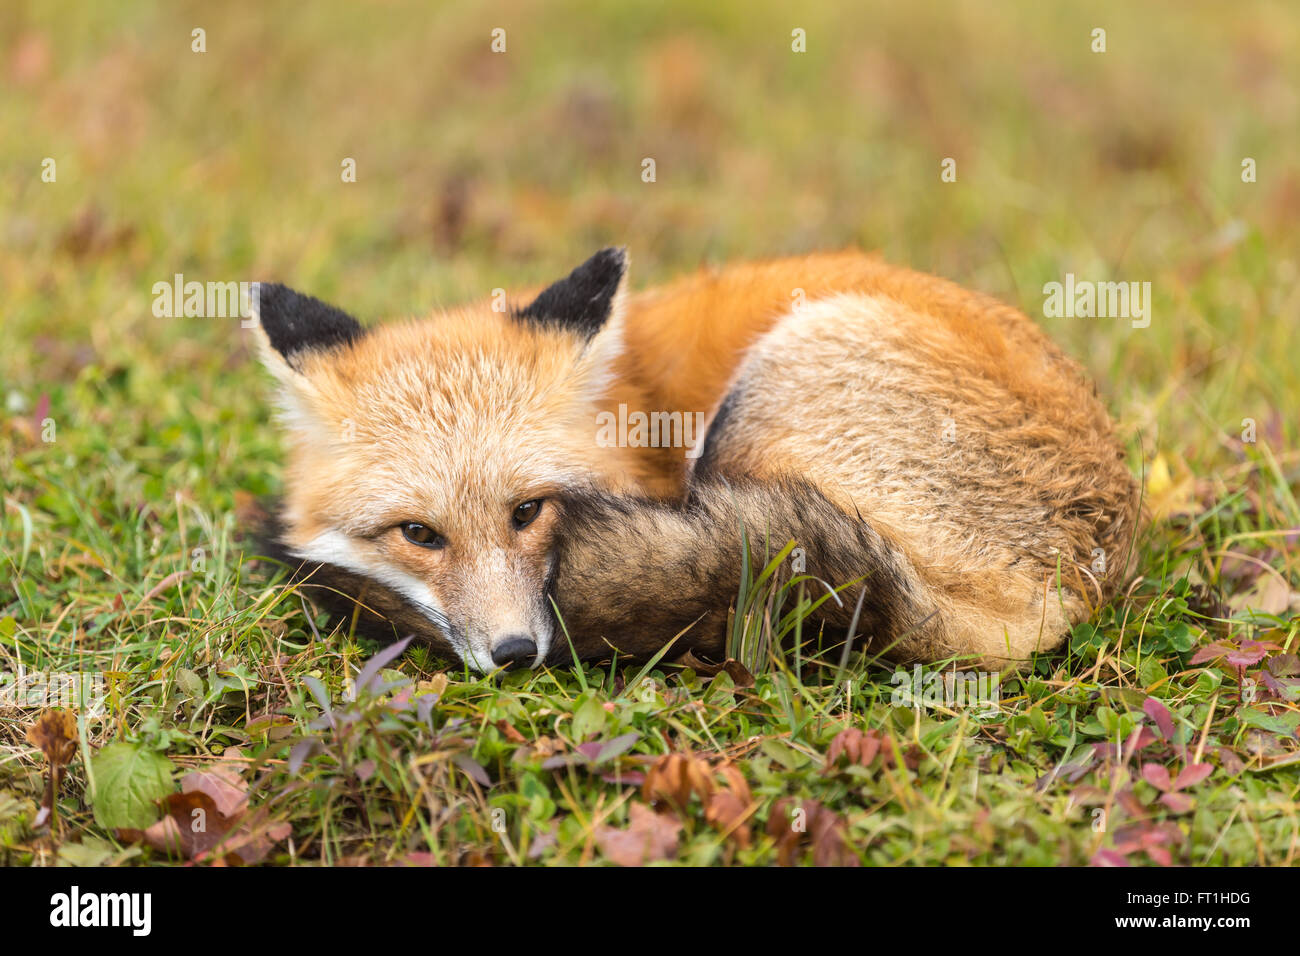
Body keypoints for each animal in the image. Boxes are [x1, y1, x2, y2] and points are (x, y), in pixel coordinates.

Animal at [250, 248, 1141, 673]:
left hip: (770, 387)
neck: (632, 406)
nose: (515, 654)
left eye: (528, 511)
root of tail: (1067, 593)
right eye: (418, 535)